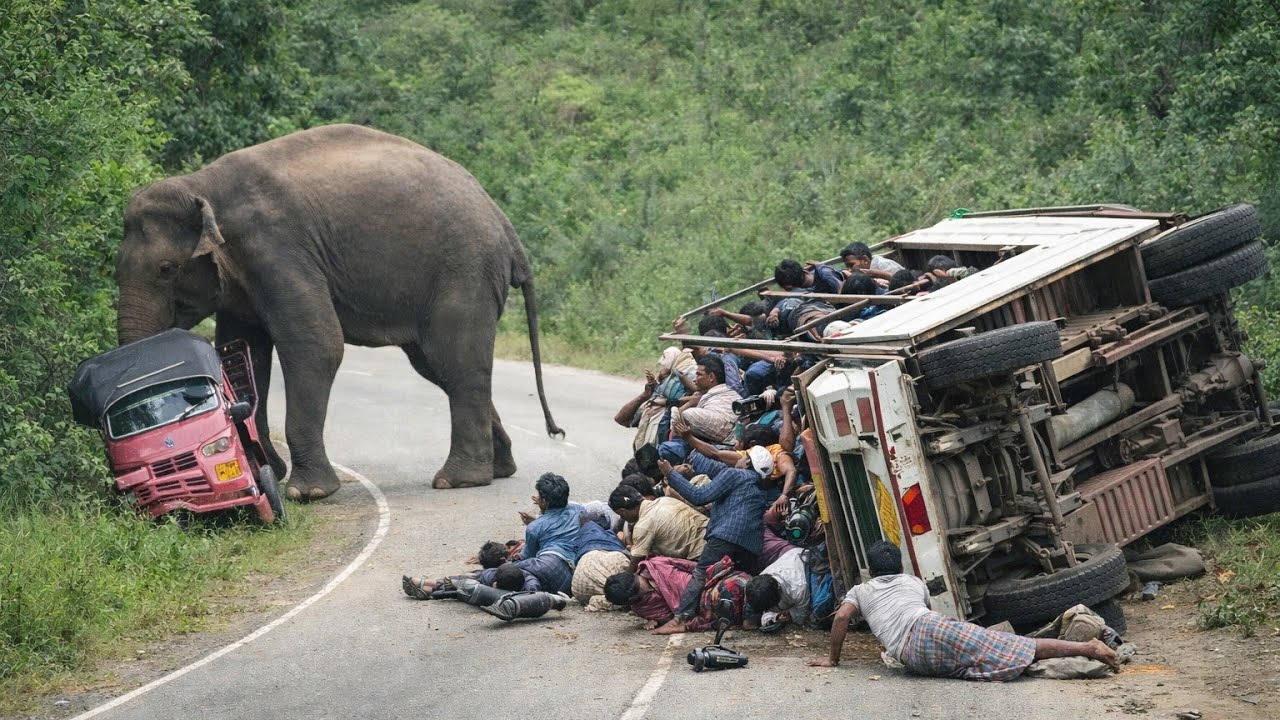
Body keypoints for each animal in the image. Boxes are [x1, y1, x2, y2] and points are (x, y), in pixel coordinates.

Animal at [116, 124, 563, 499]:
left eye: (166, 269)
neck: (201, 184)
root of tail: (505, 224)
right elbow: (241, 354)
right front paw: (271, 470)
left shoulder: (280, 250)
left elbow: (316, 344)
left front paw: (307, 493)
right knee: (439, 367)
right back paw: (500, 468)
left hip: (464, 273)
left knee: (454, 361)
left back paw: (457, 481)